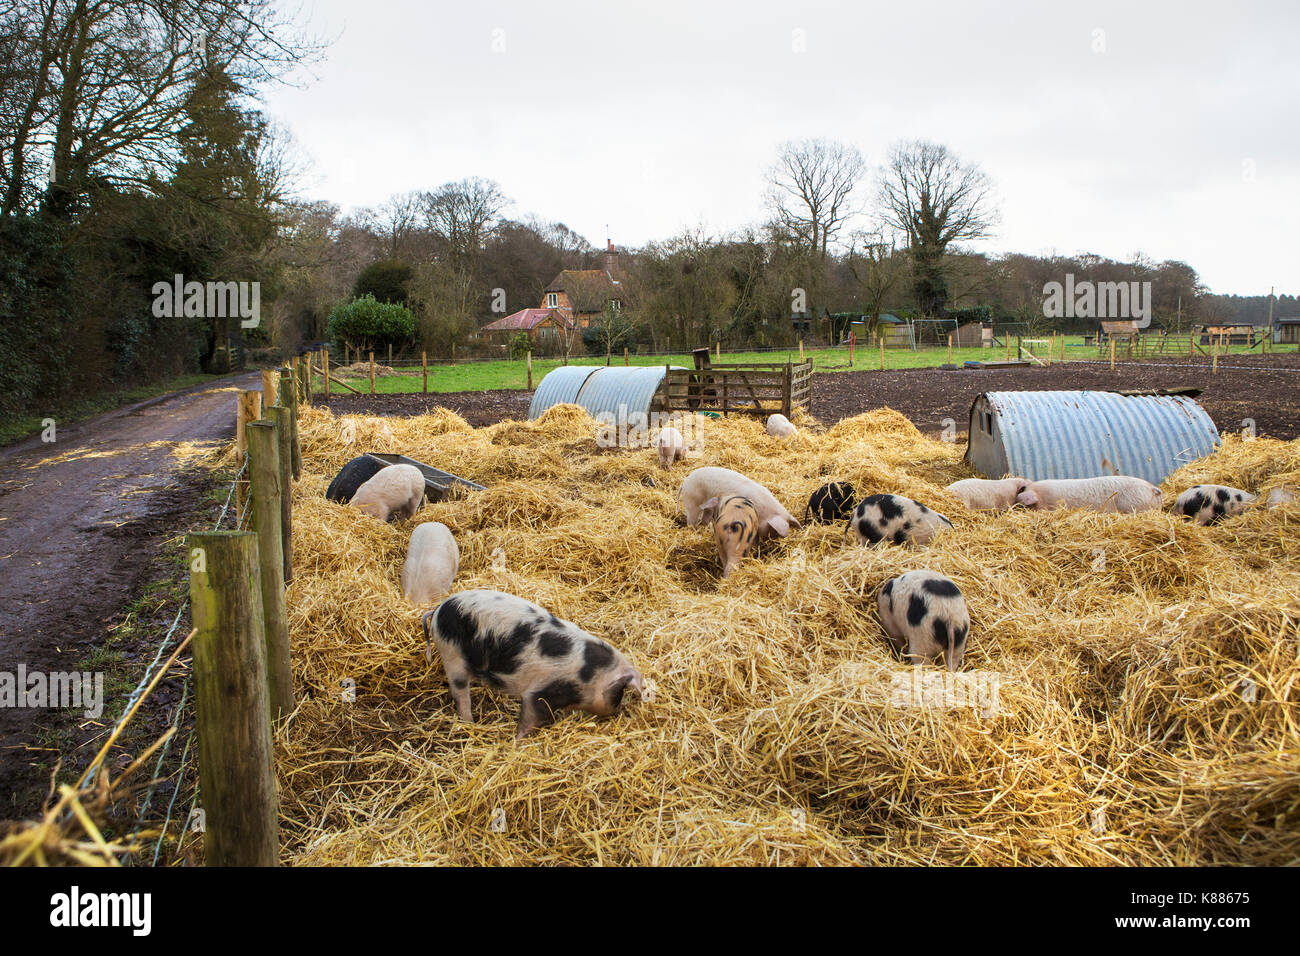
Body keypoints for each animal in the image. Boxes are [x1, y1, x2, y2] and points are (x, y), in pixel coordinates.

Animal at [422, 590, 644, 739]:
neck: (590, 674)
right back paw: (470, 723)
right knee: (460, 694)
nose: (617, 711)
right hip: (452, 656)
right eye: (618, 692)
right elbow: (530, 717)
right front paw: (516, 742)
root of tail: (438, 609)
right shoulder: (540, 692)